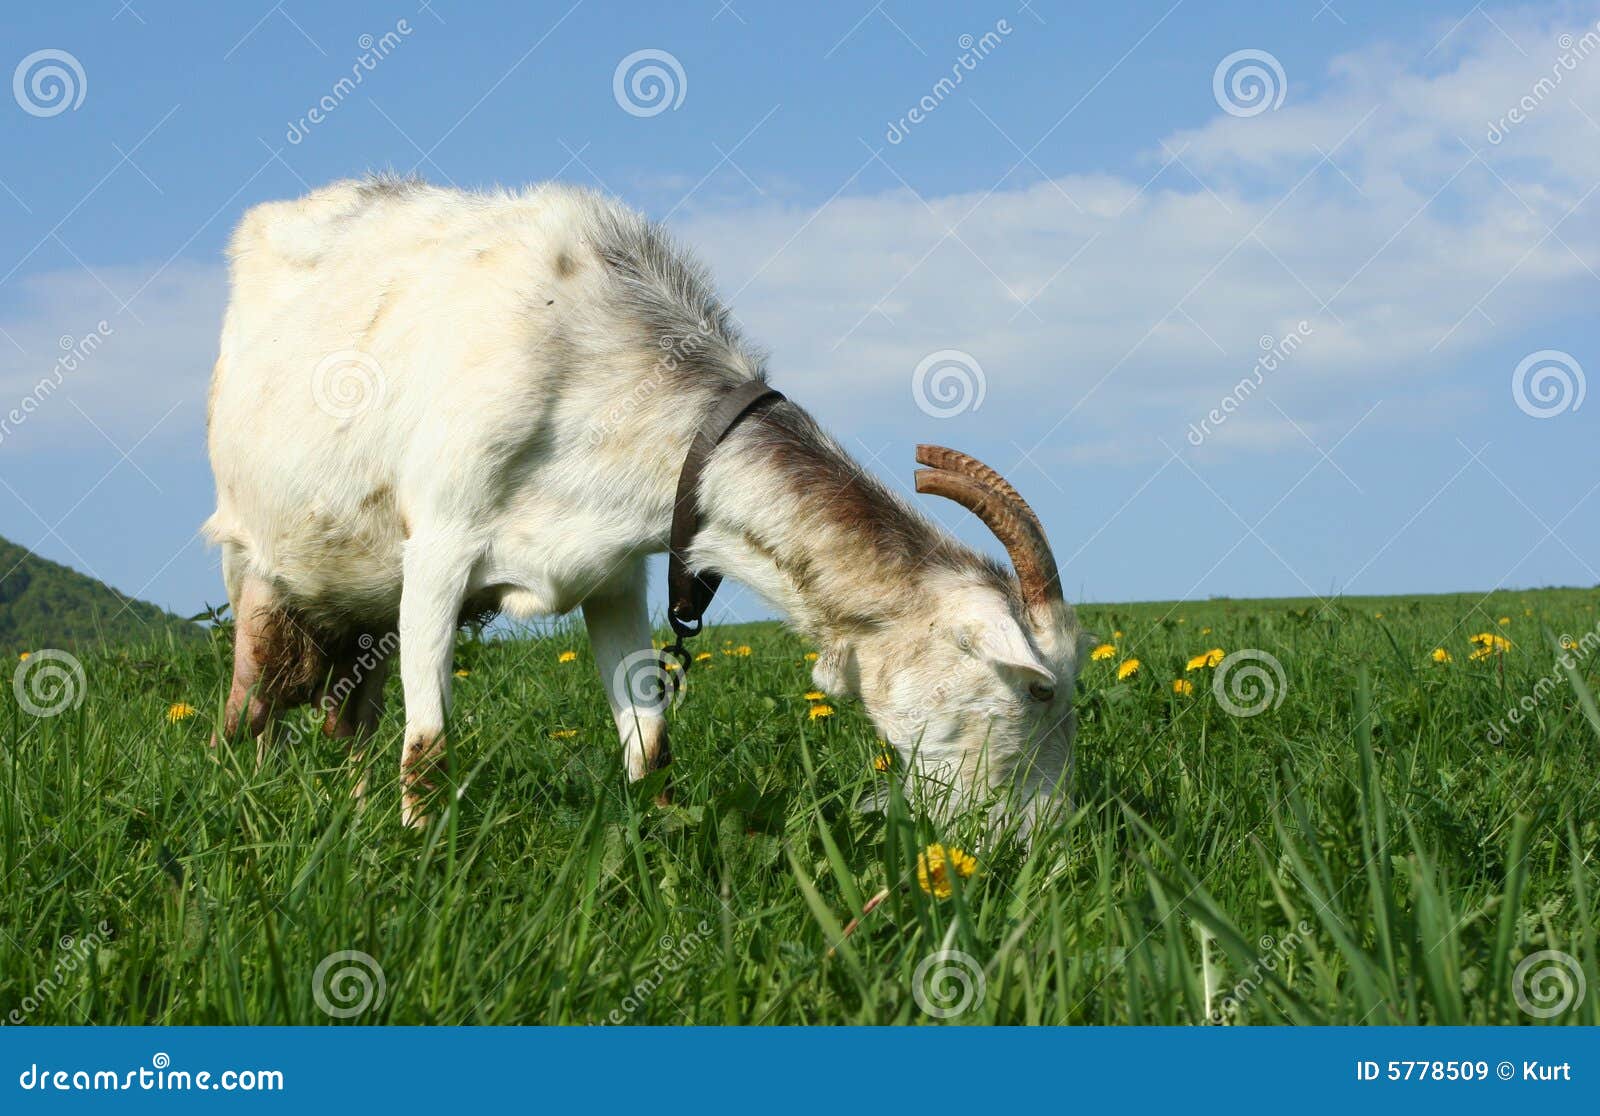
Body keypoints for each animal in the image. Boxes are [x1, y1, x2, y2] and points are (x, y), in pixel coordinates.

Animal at [204, 176, 1085, 830]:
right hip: (253, 569)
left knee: (348, 720)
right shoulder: (437, 552)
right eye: (1038, 687)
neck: (593, 362)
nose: (1042, 843)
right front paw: (421, 858)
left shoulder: (611, 574)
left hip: (361, 611)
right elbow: (428, 749)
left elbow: (649, 743)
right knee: (248, 717)